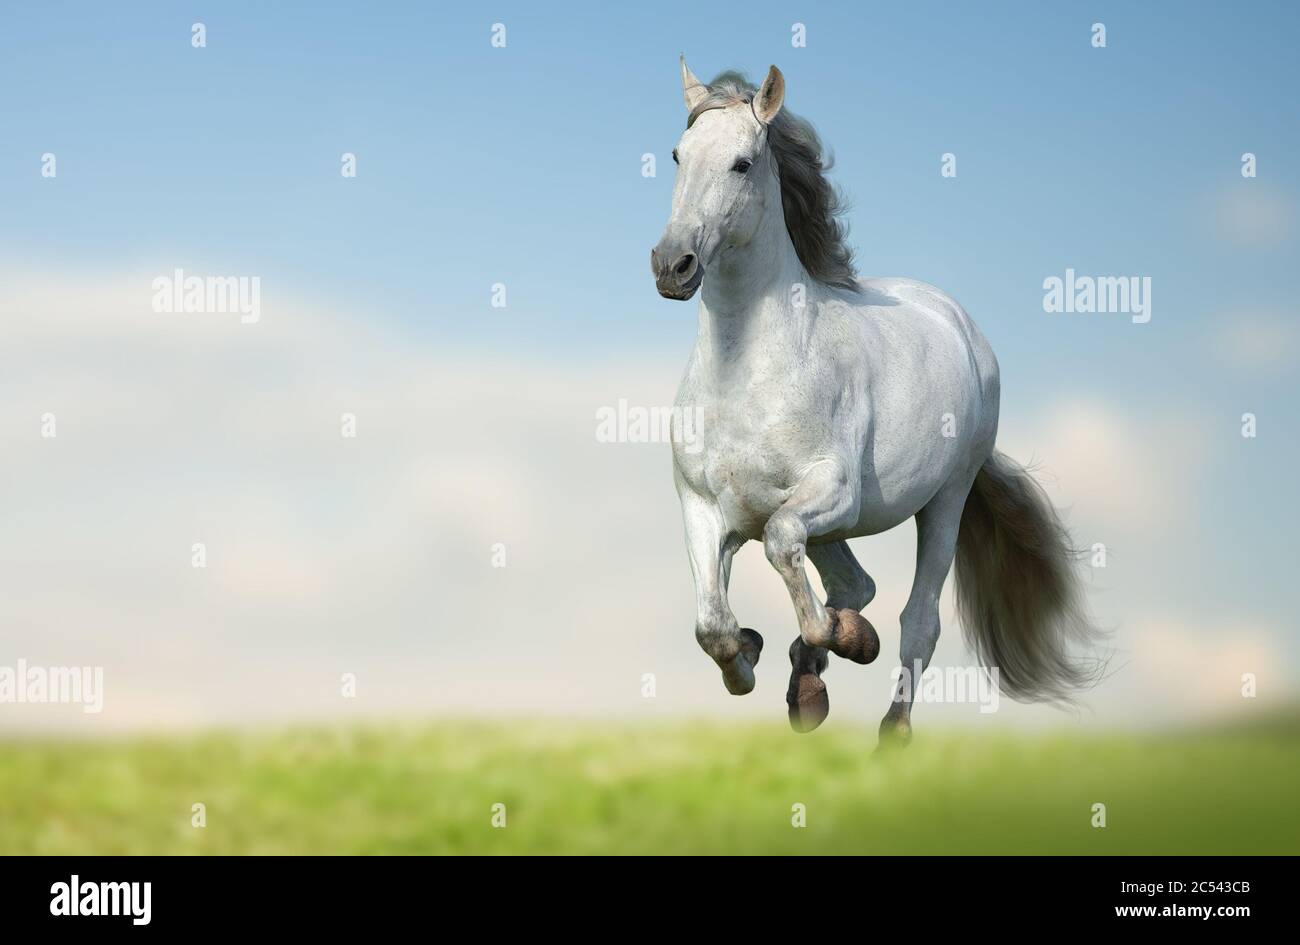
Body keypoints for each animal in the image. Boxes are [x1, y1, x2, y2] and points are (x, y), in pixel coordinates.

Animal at [652, 60, 1101, 745]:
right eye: (679, 155)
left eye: (742, 163)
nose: (672, 265)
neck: (745, 375)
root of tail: (956, 320)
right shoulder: (705, 510)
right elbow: (714, 628)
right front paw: (753, 655)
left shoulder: (831, 491)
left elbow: (786, 555)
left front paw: (846, 641)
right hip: (839, 524)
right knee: (851, 582)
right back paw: (807, 689)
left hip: (944, 500)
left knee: (916, 619)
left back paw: (890, 727)